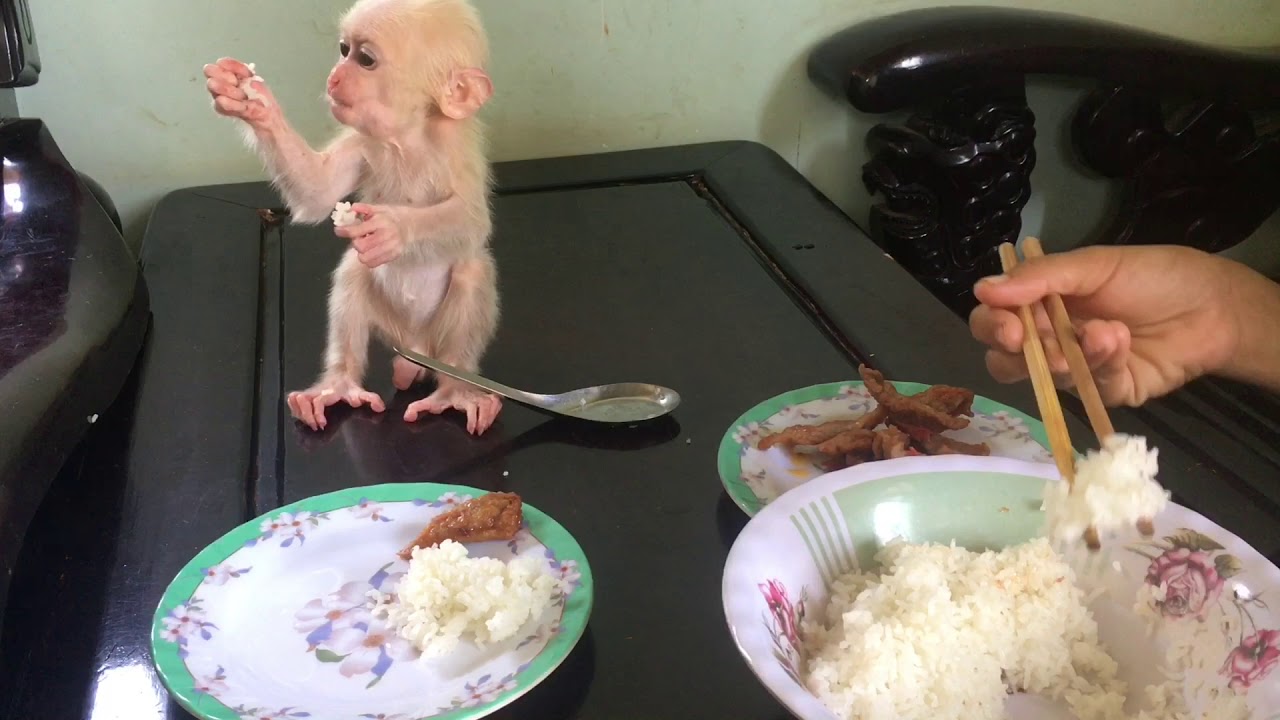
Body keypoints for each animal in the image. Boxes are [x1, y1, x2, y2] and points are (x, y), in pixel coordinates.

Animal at [202, 0, 503, 435]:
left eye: (365, 60)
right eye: (344, 50)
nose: (335, 76)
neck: (407, 138)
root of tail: (414, 344)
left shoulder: (454, 147)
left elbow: (473, 221)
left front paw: (393, 229)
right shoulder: (364, 140)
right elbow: (318, 192)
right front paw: (249, 100)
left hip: (436, 339)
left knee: (471, 271)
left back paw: (455, 391)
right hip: (391, 328)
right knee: (353, 271)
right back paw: (339, 385)